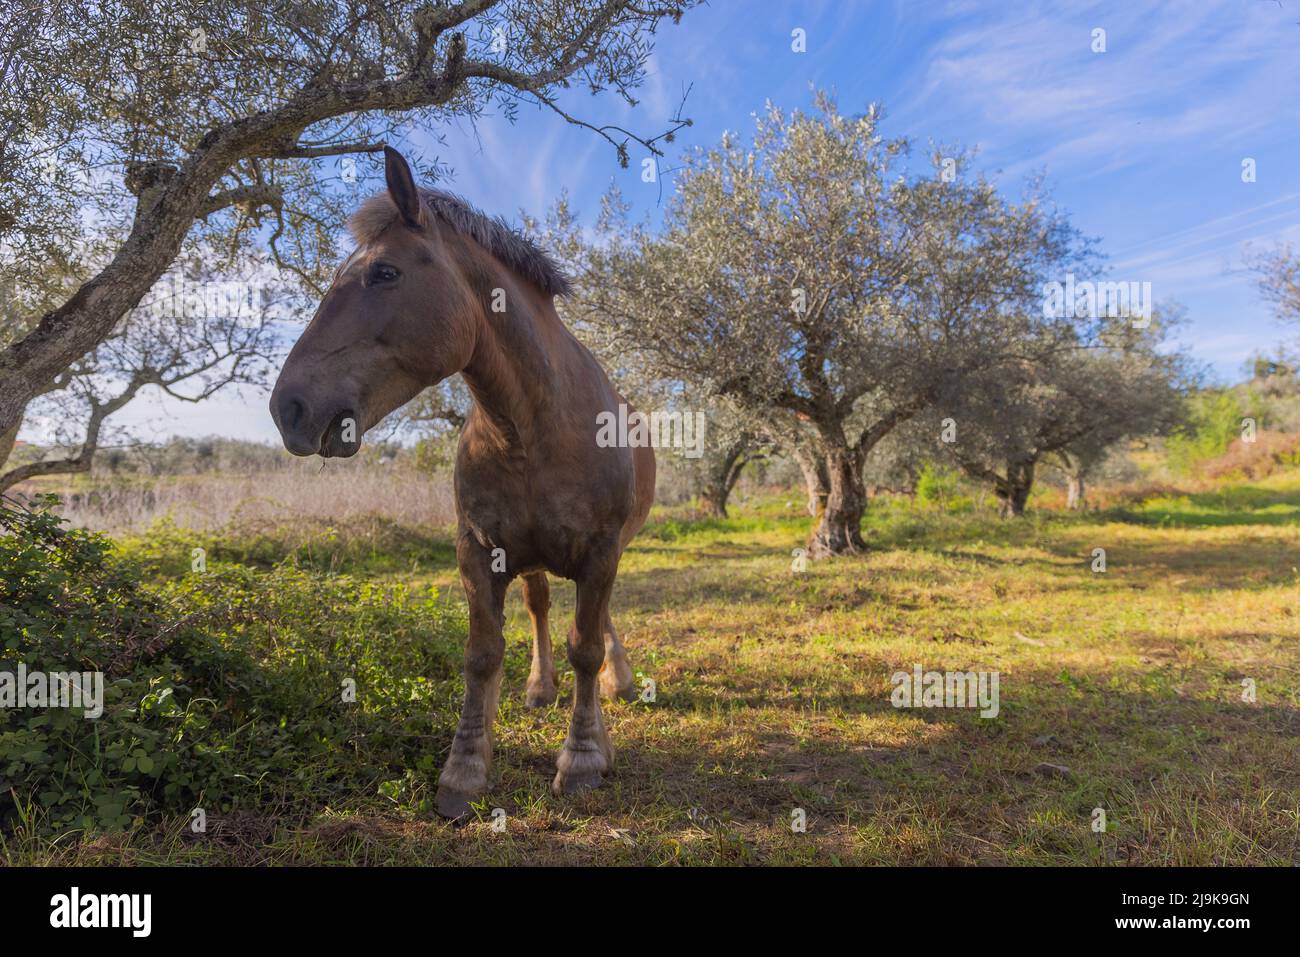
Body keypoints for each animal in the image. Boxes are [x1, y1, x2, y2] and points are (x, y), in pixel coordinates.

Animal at [269, 147, 655, 818]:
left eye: (385, 273)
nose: (287, 408)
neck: (533, 426)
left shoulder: (602, 549)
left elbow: (586, 646)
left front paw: (583, 760)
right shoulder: (477, 550)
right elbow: (482, 655)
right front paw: (465, 772)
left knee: (594, 624)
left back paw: (616, 687)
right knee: (541, 606)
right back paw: (540, 688)